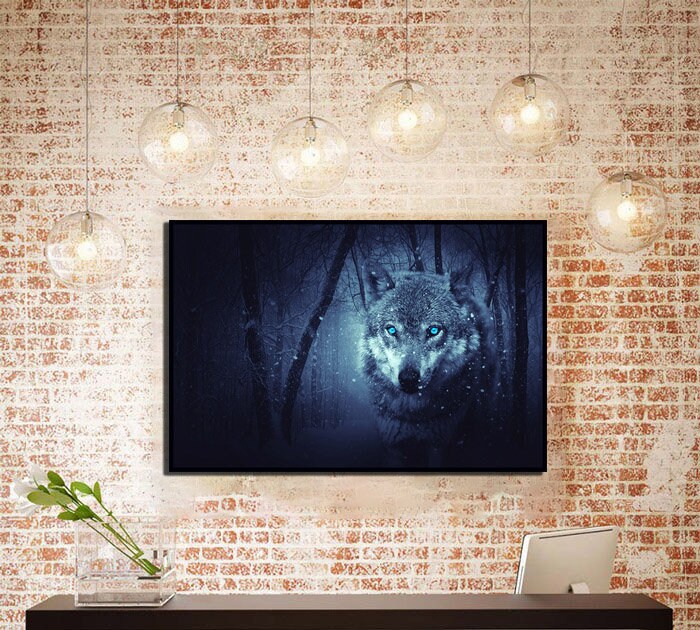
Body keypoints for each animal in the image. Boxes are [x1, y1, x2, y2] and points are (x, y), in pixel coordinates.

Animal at [360, 265, 497, 464]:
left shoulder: (439, 444)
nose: (408, 378)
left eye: (433, 330)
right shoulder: (393, 444)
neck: (414, 415)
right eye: (391, 330)